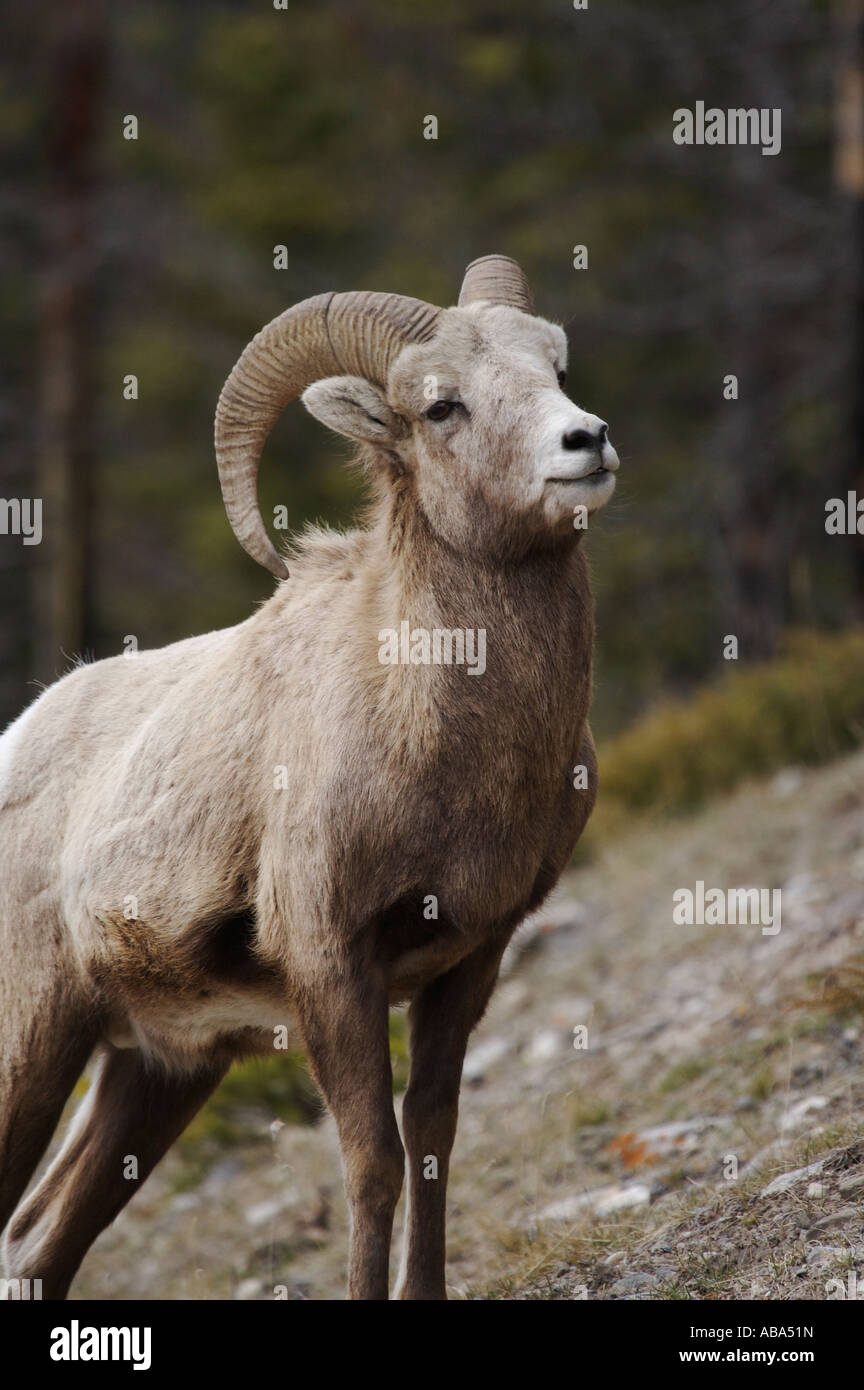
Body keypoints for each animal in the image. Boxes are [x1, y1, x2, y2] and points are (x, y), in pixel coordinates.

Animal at [0, 255, 619, 1300]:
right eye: (440, 405)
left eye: (556, 366)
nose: (588, 441)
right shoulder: (332, 964)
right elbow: (371, 1161)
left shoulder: (473, 957)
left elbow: (433, 1140)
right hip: (33, 1048)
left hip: (159, 1073)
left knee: (41, 1245)